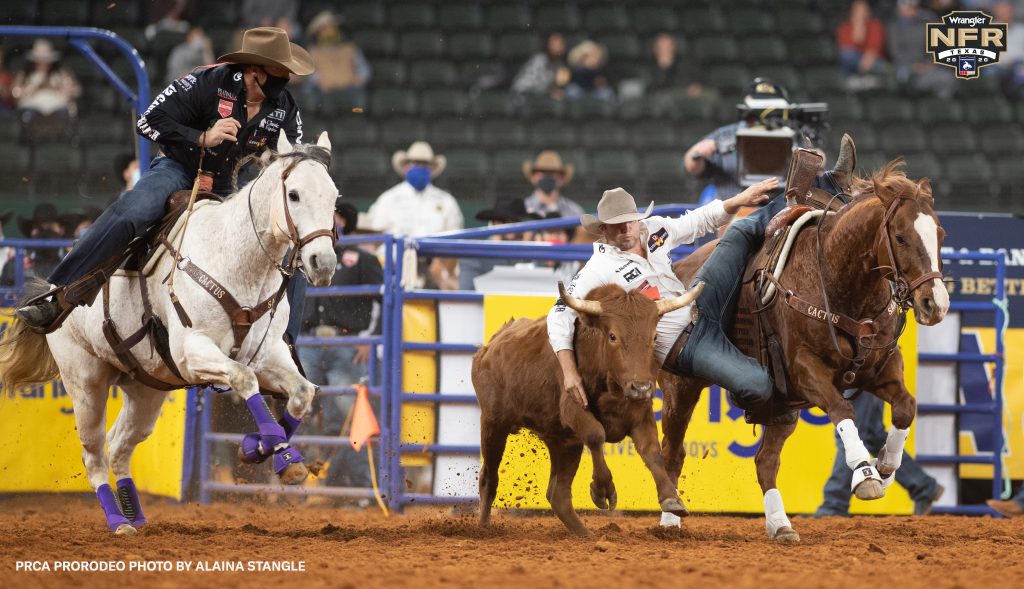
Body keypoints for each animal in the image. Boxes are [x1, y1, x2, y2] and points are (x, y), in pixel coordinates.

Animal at [0, 131, 339, 535]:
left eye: (334, 197)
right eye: (294, 194)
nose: (324, 263)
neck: (238, 261)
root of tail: (55, 288)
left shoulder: (268, 353)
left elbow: (302, 393)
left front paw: (265, 451)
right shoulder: (192, 352)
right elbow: (244, 379)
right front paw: (277, 450)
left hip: (145, 389)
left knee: (119, 445)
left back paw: (135, 513)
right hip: (85, 381)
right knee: (94, 453)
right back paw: (118, 521)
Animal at [660, 154, 949, 543]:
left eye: (940, 234)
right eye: (901, 237)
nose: (936, 303)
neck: (839, 281)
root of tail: (677, 271)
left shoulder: (880, 368)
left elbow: (906, 405)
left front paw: (886, 465)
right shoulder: (805, 370)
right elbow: (843, 410)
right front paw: (865, 473)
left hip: (781, 406)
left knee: (765, 462)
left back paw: (780, 524)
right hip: (682, 387)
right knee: (672, 453)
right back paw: (670, 519)